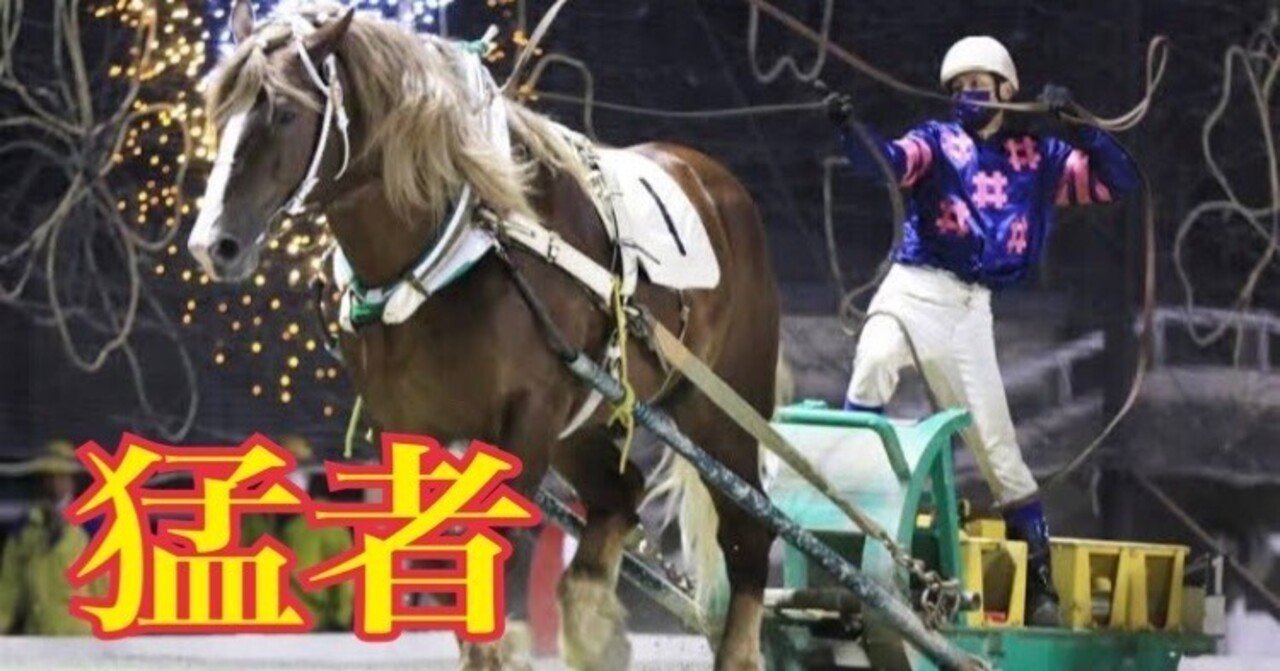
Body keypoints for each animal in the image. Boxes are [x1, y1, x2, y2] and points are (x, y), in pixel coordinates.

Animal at [188, 3, 780, 669]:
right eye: (218, 110)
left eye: (286, 112)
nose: (213, 244)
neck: (455, 246)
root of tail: (714, 182)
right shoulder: (407, 426)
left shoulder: (527, 417)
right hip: (585, 421)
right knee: (619, 497)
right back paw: (591, 625)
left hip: (718, 410)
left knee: (750, 531)